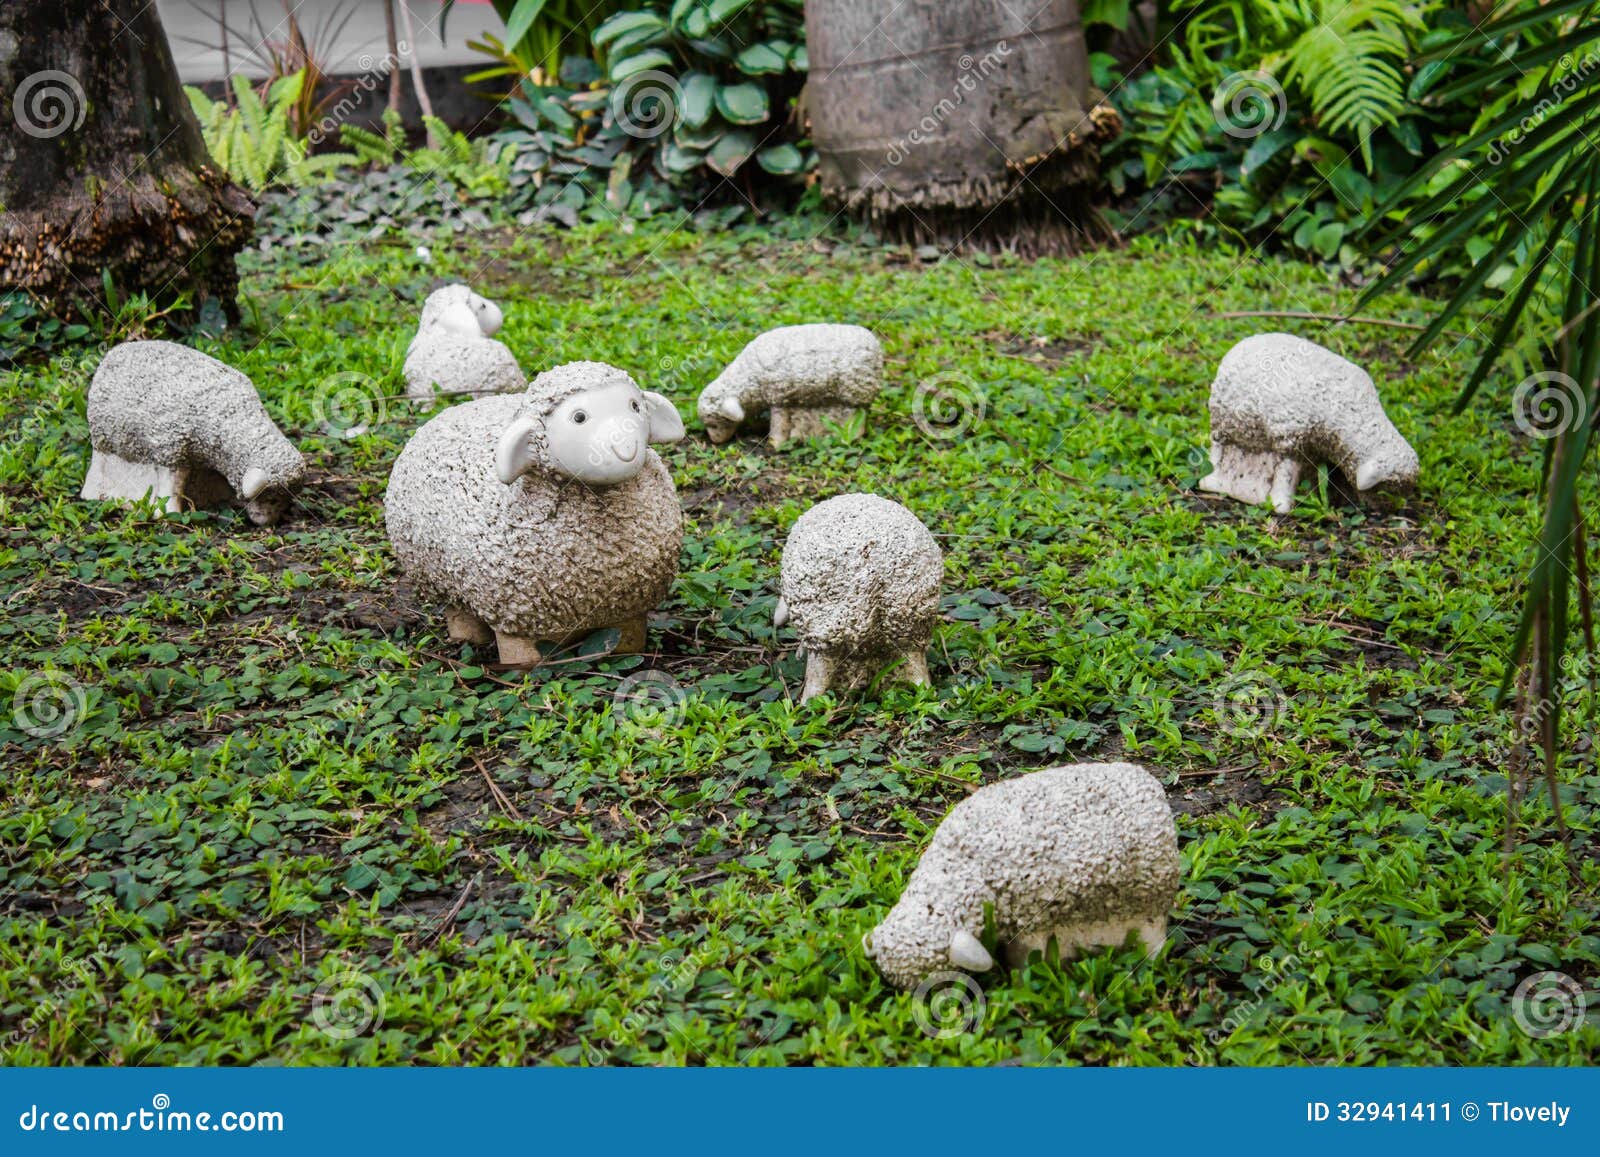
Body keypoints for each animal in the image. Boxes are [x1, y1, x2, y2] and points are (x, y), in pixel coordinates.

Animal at [80, 340, 306, 526]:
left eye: (284, 500)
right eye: (270, 498)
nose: (267, 523)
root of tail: (116, 350)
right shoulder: (170, 448)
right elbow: (171, 486)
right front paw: (168, 513)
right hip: (104, 437)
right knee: (100, 465)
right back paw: (96, 494)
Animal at [384, 361, 687, 665]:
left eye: (635, 406)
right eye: (579, 417)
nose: (625, 447)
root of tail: (452, 409)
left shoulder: (628, 609)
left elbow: (627, 643)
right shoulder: (516, 615)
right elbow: (522, 655)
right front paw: (523, 669)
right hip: (438, 578)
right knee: (457, 612)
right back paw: (466, 638)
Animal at [698, 324, 883, 447]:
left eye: (715, 424)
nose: (715, 441)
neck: (750, 377)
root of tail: (875, 346)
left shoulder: (778, 394)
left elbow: (780, 423)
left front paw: (775, 443)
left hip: (856, 389)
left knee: (857, 417)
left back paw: (848, 437)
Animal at [864, 762, 1180, 991]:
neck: (961, 872)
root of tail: (1151, 785)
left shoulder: (1032, 923)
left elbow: (1027, 961)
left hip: (1148, 903)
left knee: (1152, 938)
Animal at [1200, 332, 1419, 514]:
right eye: (1385, 489)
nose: (1384, 511)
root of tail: (1242, 343)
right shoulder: (1289, 435)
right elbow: (1286, 474)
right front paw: (1281, 504)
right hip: (1222, 419)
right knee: (1218, 447)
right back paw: (1212, 480)